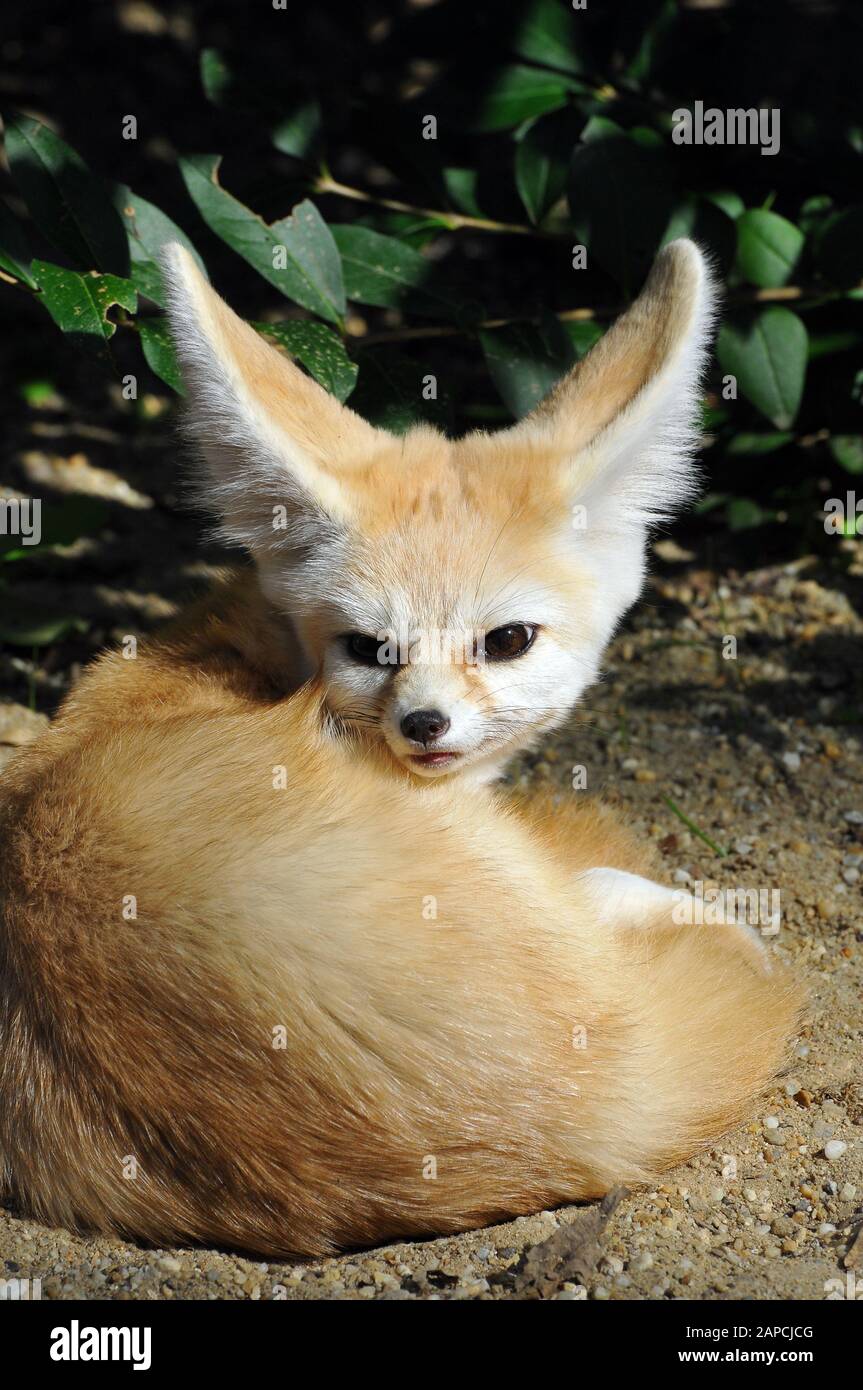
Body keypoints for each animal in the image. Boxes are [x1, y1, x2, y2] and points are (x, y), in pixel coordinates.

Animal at [0, 238, 801, 1259]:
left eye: (507, 640)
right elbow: (619, 887)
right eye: (368, 649)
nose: (422, 725)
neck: (244, 645)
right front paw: (717, 918)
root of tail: (599, 1102)